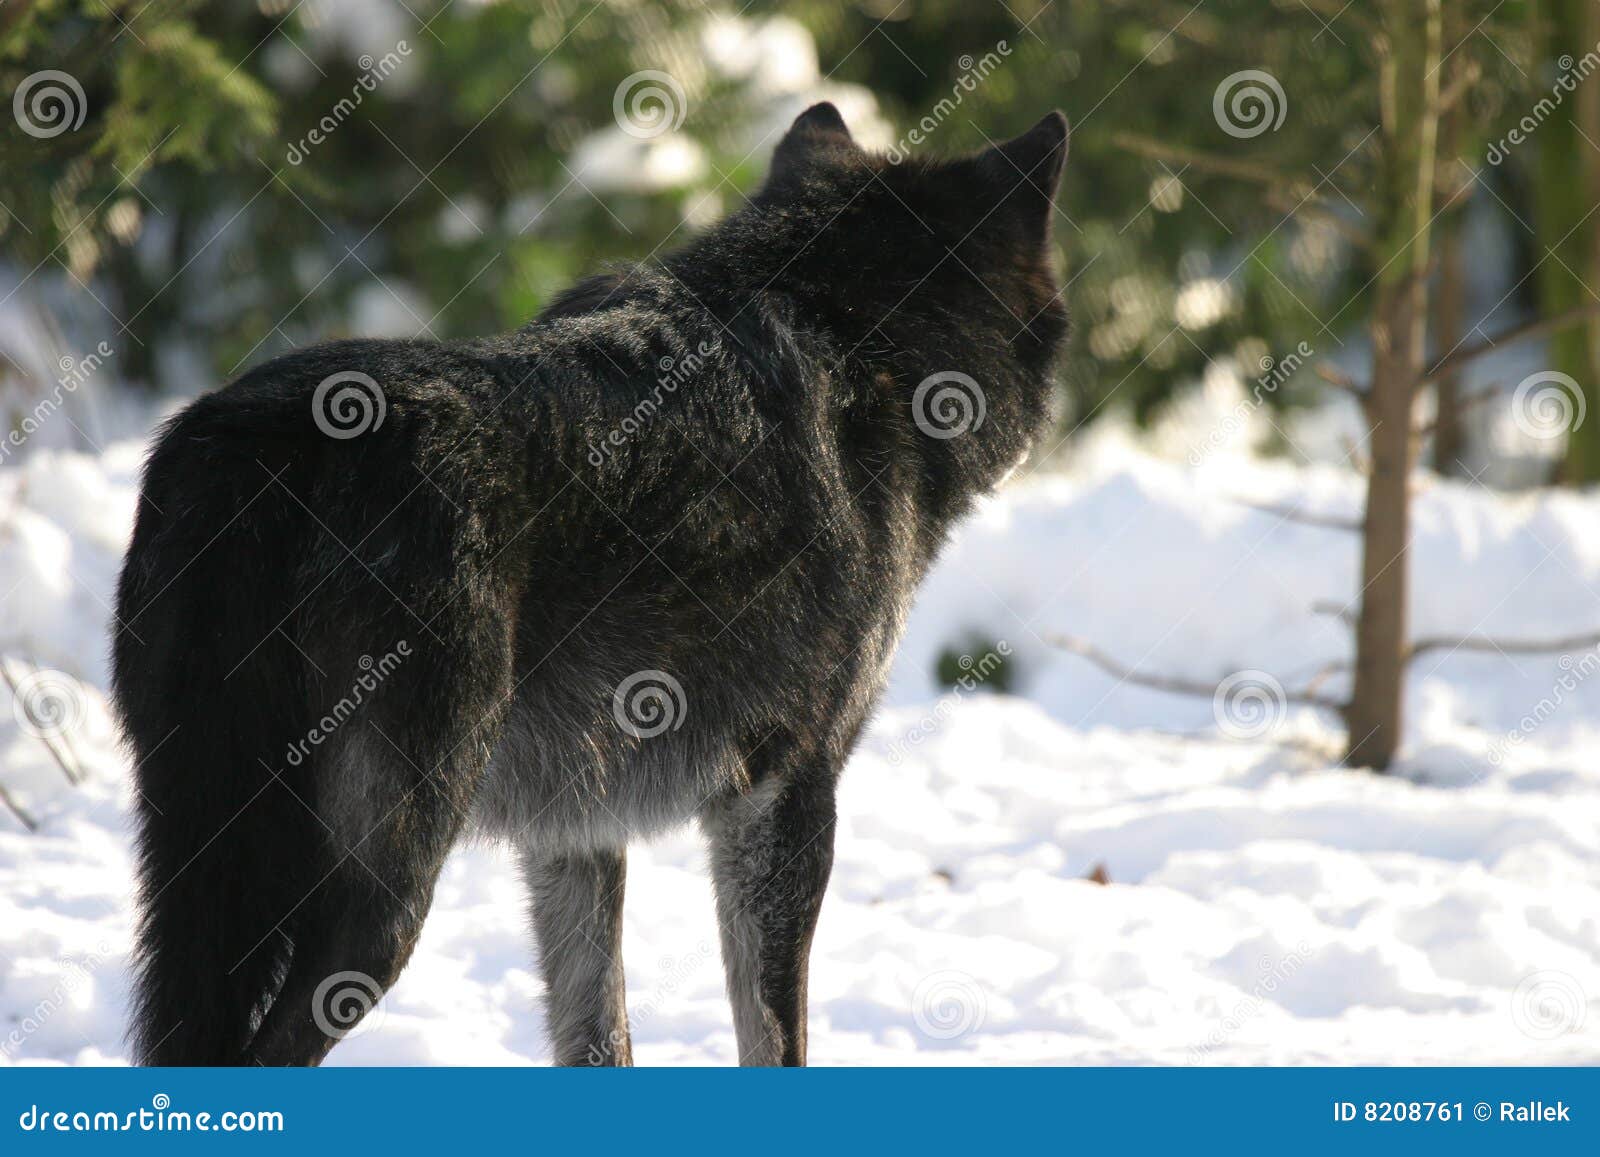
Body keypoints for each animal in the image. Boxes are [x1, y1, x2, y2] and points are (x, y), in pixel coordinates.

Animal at [111, 102, 1069, 1066]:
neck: (839, 328)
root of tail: (254, 445)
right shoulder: (786, 795)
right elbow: (773, 1036)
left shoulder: (574, 832)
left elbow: (600, 1032)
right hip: (383, 894)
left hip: (194, 857)